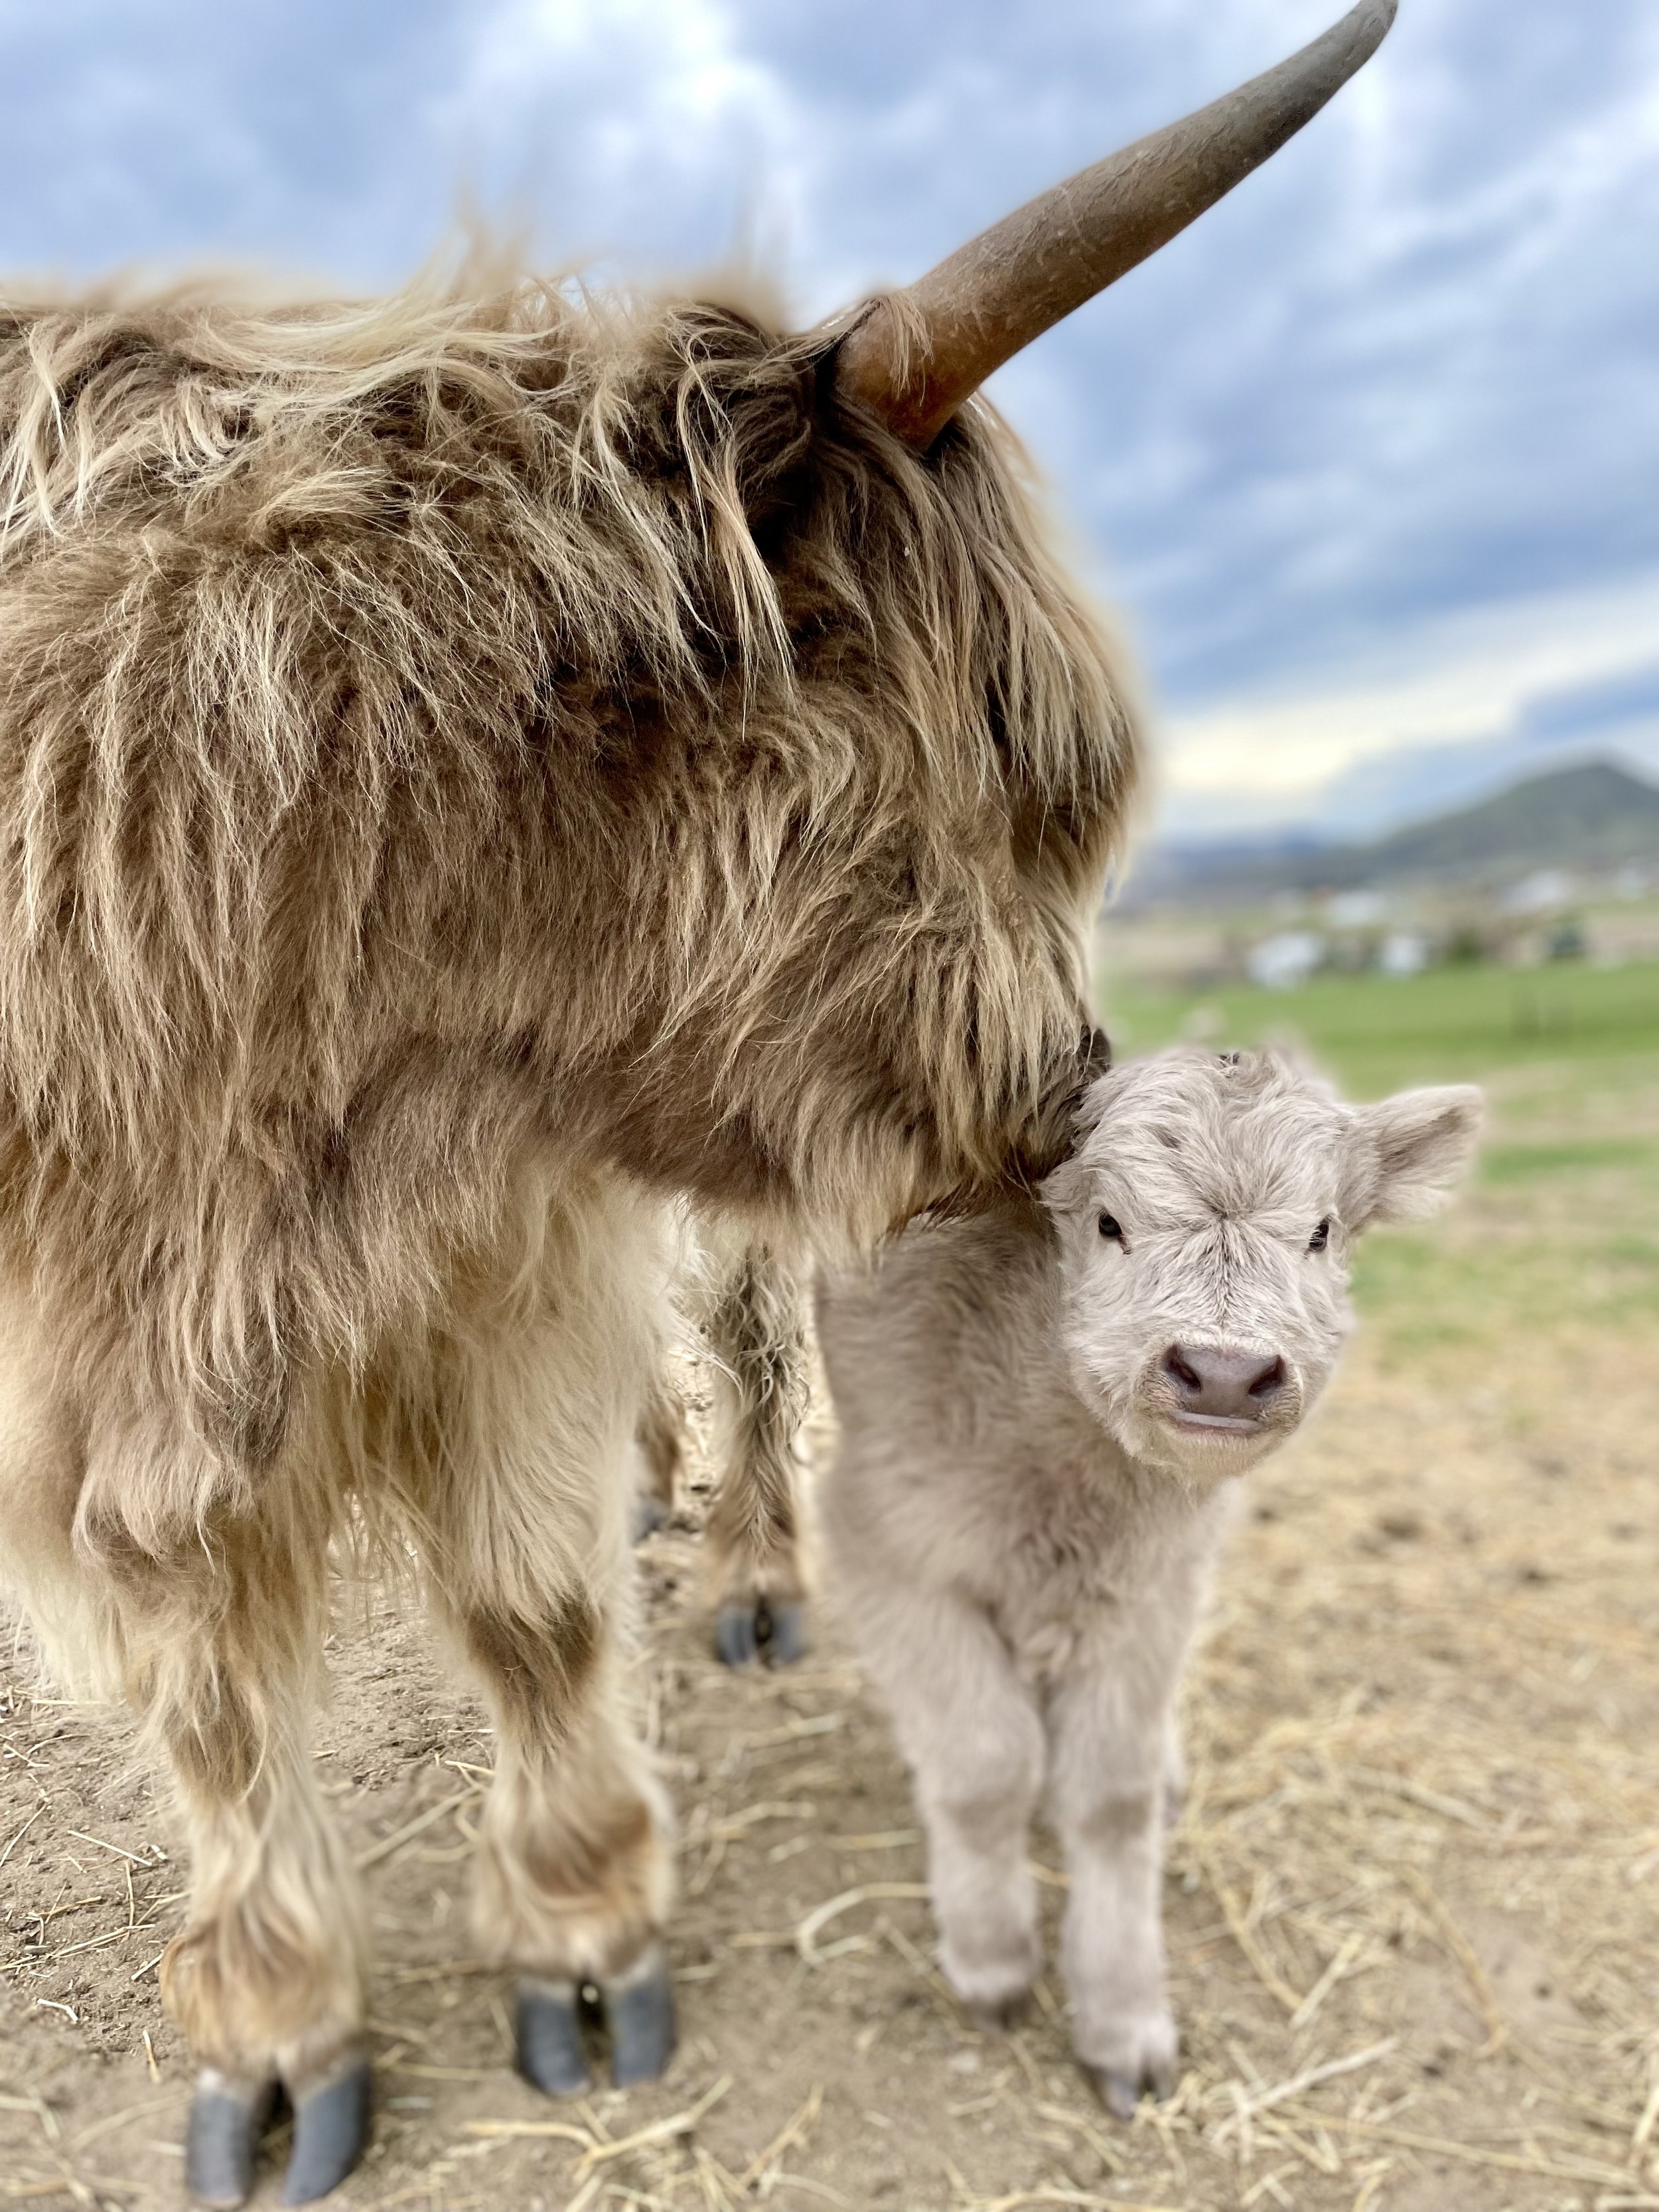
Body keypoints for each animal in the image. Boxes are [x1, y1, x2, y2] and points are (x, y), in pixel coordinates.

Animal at [0, 4, 1395, 2202]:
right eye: (993, 742)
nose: (1062, 1081)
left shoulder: (498, 1263)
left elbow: (528, 1602)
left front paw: (583, 1935)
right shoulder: (86, 1358)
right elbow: (209, 1696)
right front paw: (279, 2030)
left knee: (736, 1328)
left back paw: (740, 1564)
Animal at [816, 1046, 1481, 2112]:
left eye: (1321, 1231)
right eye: (1108, 1223)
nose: (1223, 1372)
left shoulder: (1156, 1583)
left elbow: (1111, 1798)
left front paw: (1122, 2018)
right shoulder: (886, 1543)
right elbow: (984, 1765)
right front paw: (992, 1957)